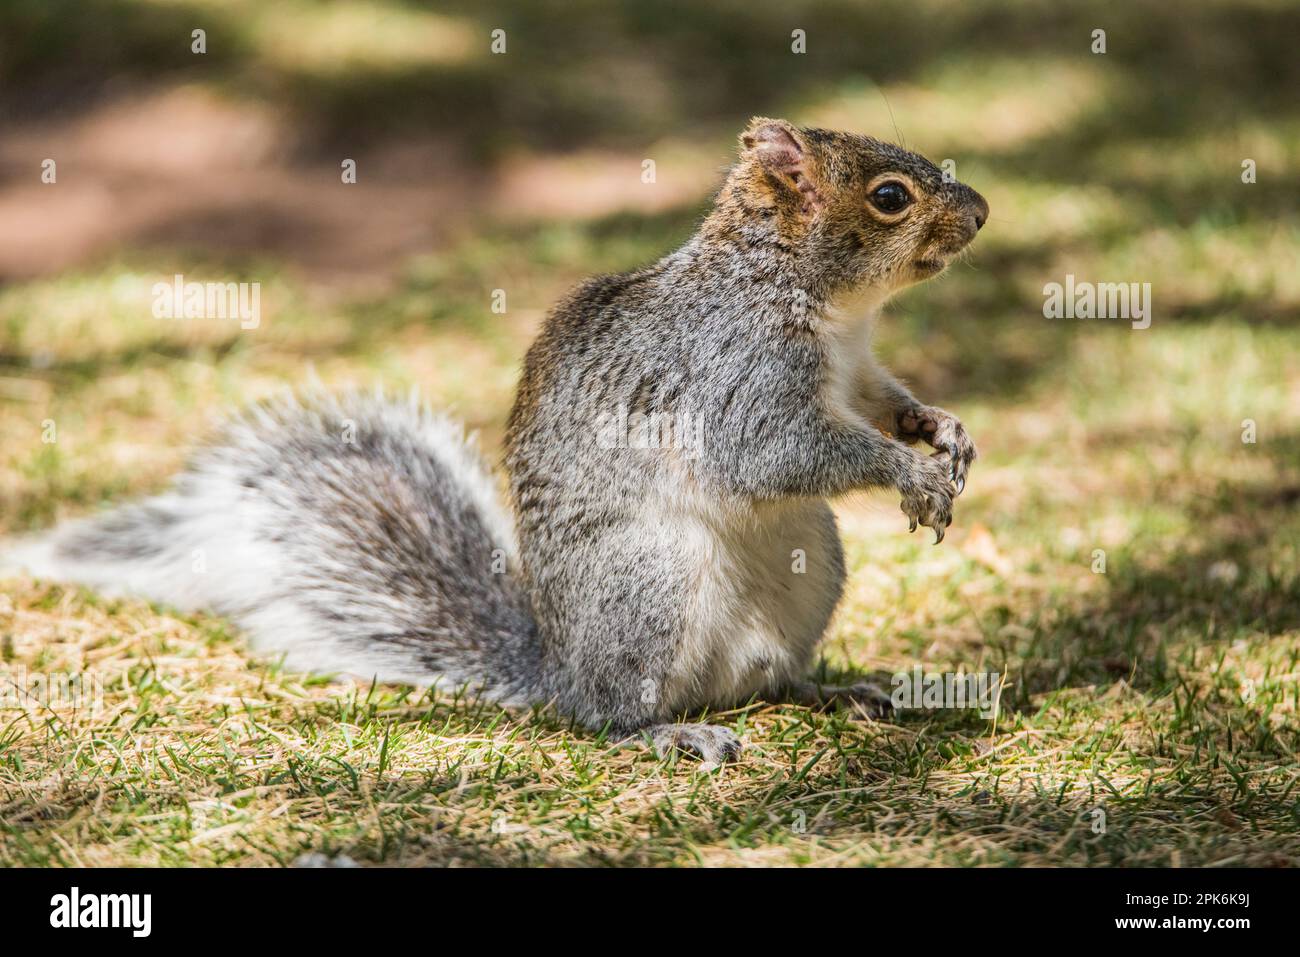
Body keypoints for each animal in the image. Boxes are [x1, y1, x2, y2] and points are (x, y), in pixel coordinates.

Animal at [2, 118, 988, 764]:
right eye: (890, 196)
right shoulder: (735, 374)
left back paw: (832, 689)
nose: (980, 212)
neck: (823, 306)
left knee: (770, 680)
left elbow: (887, 403)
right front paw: (907, 471)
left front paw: (943, 432)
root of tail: (557, 667)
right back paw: (669, 728)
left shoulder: (858, 373)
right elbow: (777, 453)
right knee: (611, 713)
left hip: (810, 567)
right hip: (650, 581)